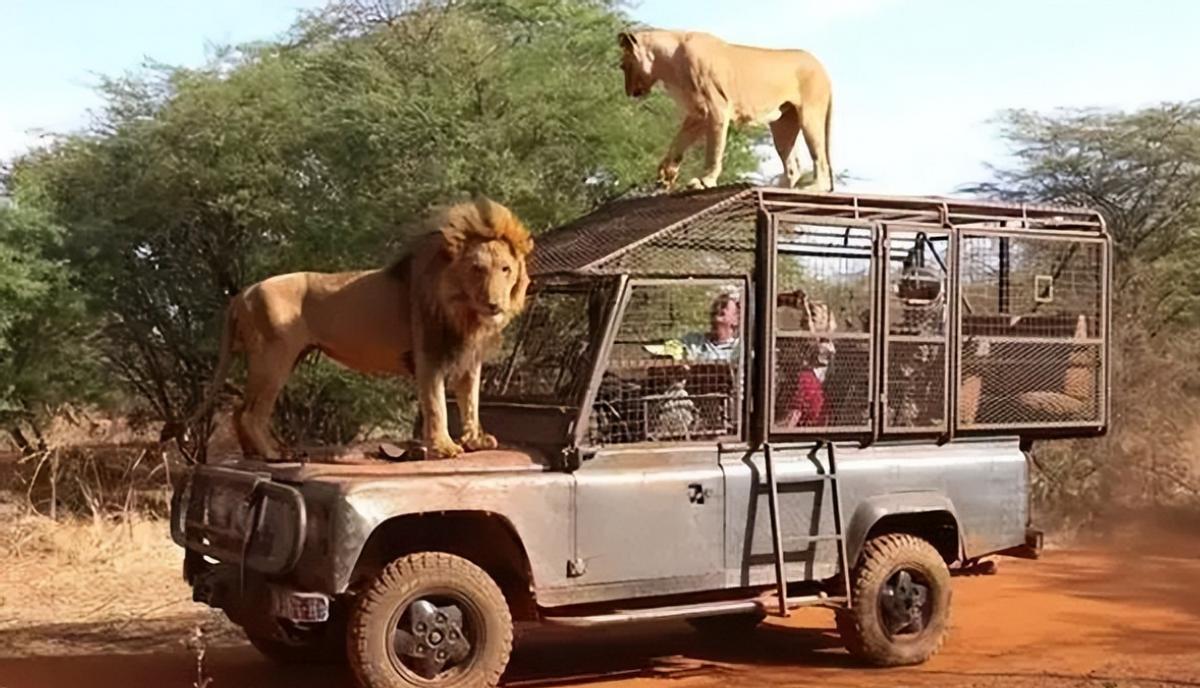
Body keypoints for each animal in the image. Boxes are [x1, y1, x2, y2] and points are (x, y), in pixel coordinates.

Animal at [164, 197, 534, 461]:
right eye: (477, 269)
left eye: (505, 269)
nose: (495, 304)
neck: (464, 311)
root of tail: (243, 292)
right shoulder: (428, 354)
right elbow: (437, 404)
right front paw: (444, 447)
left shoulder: (469, 357)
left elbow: (470, 401)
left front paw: (475, 440)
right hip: (274, 358)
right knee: (252, 412)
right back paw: (271, 454)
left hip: (282, 358)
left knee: (240, 410)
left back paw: (255, 453)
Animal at [618, 29, 834, 192]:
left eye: (623, 66)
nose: (628, 92)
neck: (667, 64)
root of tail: (822, 67)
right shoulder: (698, 113)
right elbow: (678, 143)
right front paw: (666, 174)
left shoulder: (717, 108)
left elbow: (713, 149)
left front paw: (705, 181)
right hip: (783, 125)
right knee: (793, 166)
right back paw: (779, 189)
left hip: (811, 115)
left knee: (820, 158)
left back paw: (813, 187)